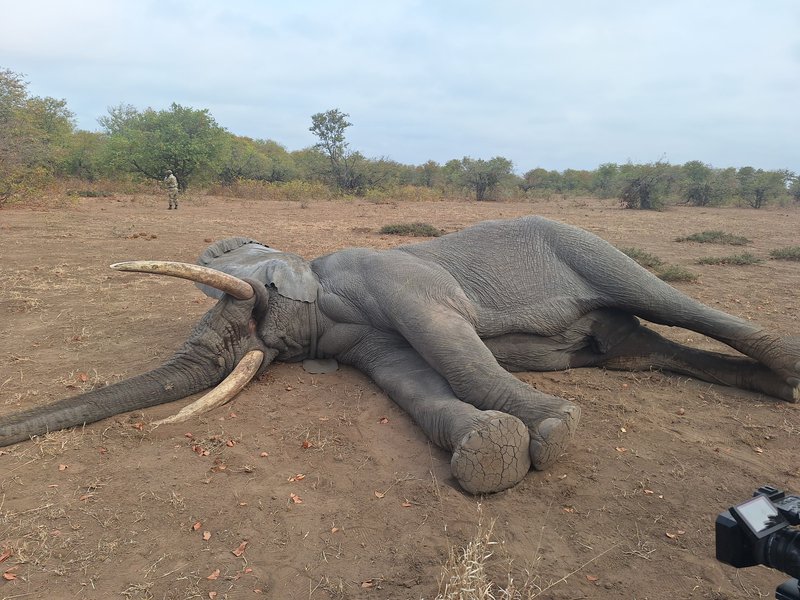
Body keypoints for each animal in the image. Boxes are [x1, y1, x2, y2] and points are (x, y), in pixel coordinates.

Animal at [1, 216, 797, 494]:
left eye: (255, 298)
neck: (320, 272)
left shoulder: (392, 277)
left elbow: (447, 342)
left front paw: (554, 434)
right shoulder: (363, 341)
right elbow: (412, 376)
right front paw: (491, 452)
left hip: (586, 245)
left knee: (667, 302)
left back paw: (787, 375)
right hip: (610, 334)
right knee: (635, 349)